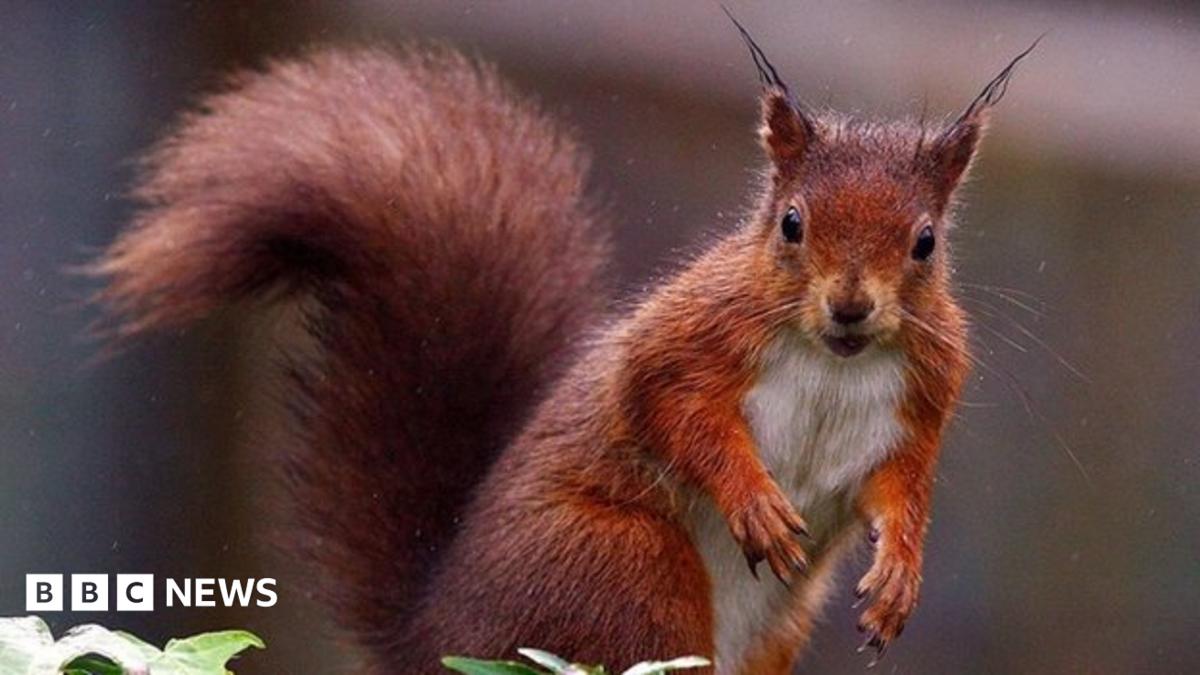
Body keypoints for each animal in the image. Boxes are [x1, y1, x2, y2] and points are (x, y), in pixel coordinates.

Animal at [92, 16, 1033, 675]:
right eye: (792, 223)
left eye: (925, 243)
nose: (850, 307)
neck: (833, 361)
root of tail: (432, 634)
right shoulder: (688, 339)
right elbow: (675, 409)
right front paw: (755, 501)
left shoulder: (925, 393)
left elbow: (902, 486)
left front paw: (899, 575)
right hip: (623, 569)